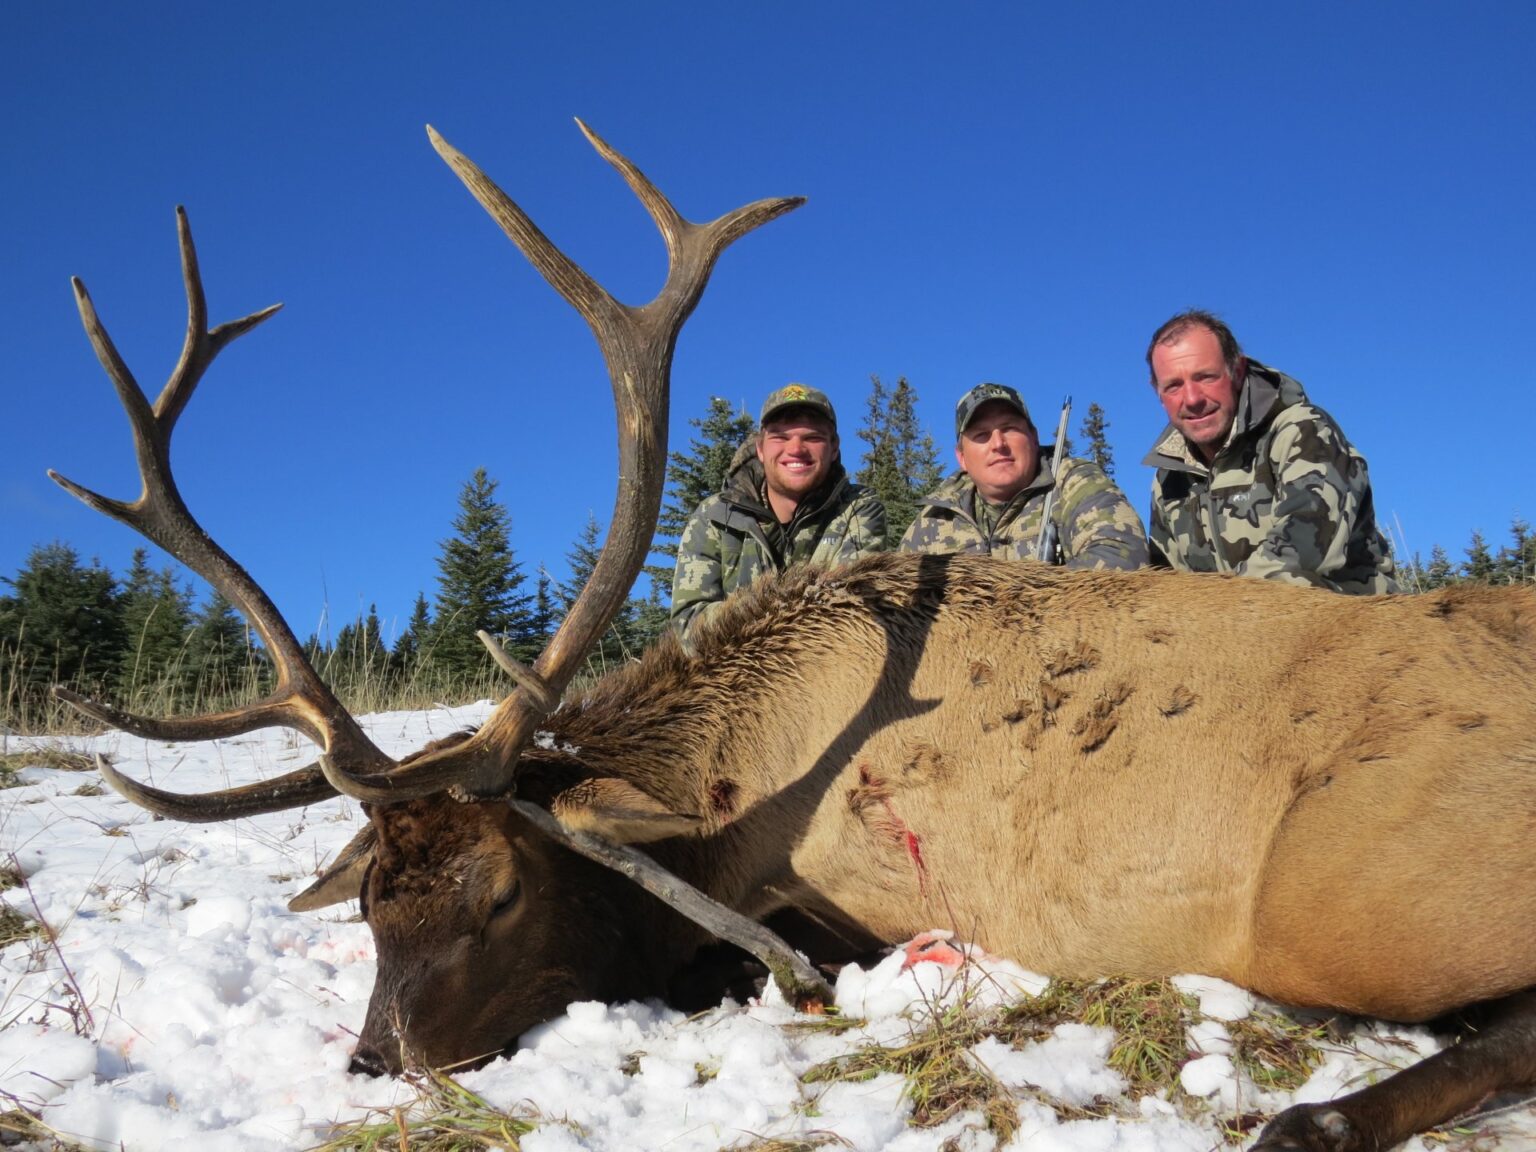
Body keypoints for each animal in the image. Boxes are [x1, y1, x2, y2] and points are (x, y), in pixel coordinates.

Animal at [48, 120, 1536, 1152]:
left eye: (504, 890)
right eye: (368, 903)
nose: (376, 1062)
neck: (732, 786)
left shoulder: (863, 903)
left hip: (1349, 890)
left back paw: (1312, 1117)